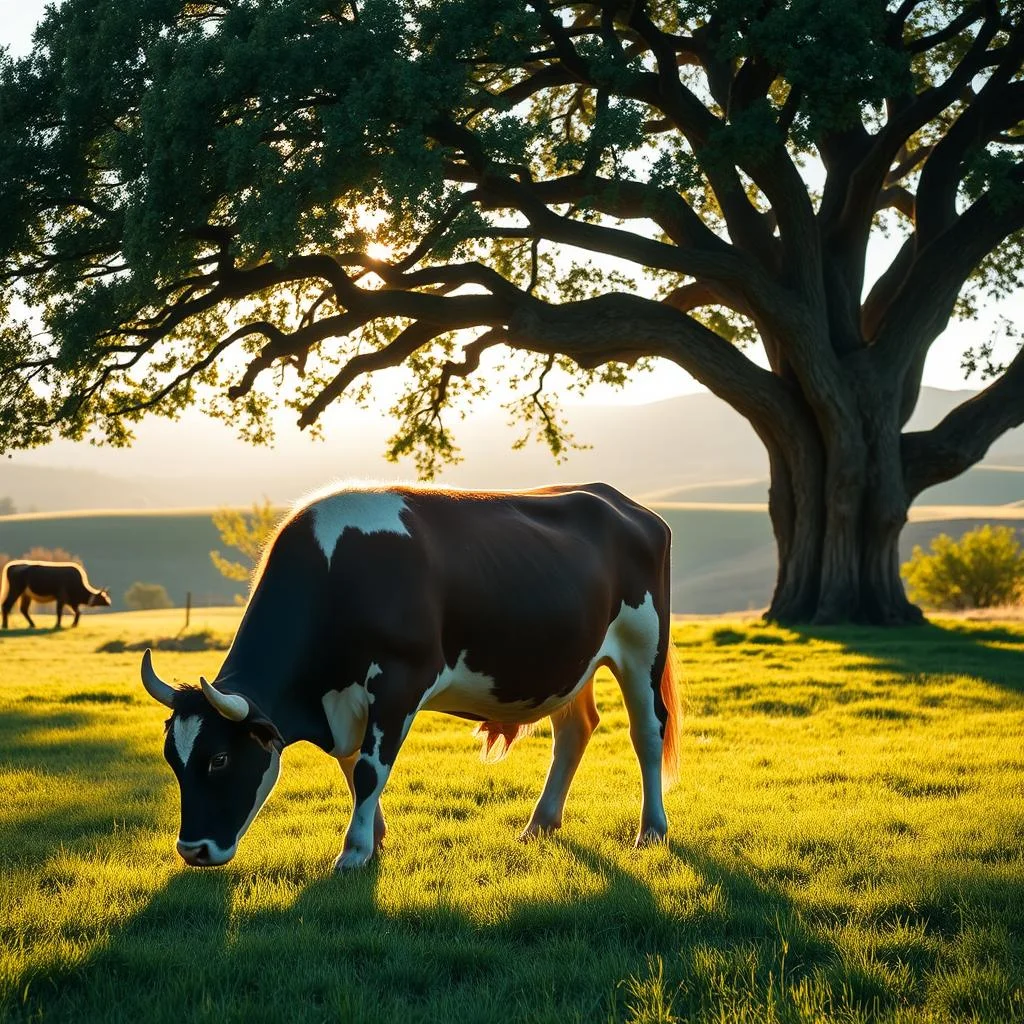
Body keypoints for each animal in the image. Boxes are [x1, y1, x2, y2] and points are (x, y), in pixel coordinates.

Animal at [140, 482, 680, 871]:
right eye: (172, 760)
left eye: (220, 759)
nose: (192, 850)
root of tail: (621, 501)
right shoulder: (345, 703)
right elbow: (352, 767)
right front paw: (372, 840)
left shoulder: (399, 681)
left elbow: (368, 769)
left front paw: (352, 853)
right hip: (571, 664)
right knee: (574, 729)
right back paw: (540, 825)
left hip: (642, 645)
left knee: (648, 731)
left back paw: (651, 830)